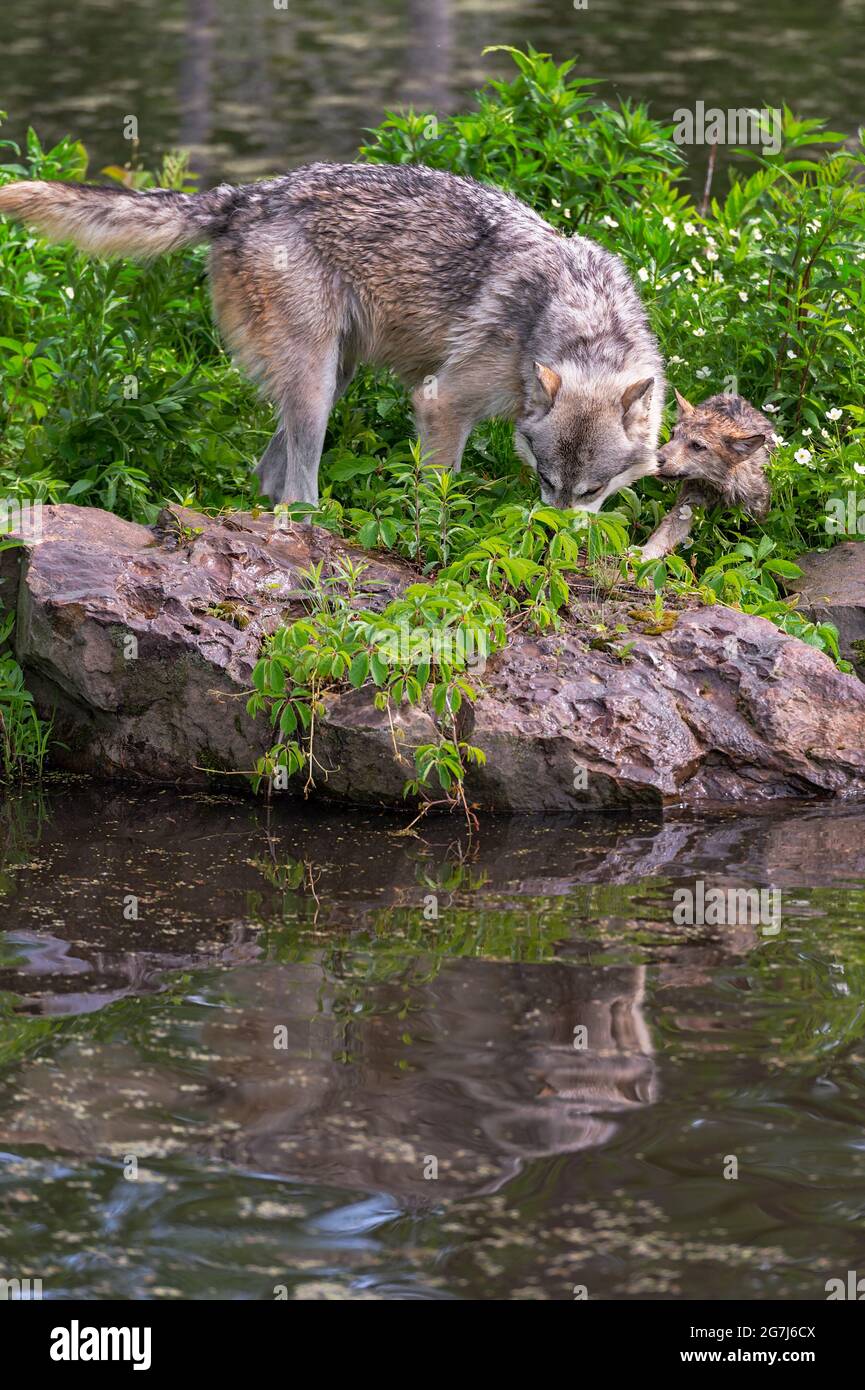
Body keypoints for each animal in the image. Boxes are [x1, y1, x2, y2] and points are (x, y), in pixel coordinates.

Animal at [0, 163, 664, 510]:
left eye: (592, 490)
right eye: (547, 483)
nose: (552, 535)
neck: (576, 318)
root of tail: (242, 196)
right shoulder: (442, 403)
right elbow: (438, 488)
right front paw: (435, 532)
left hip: (332, 377)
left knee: (267, 477)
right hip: (317, 386)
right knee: (295, 490)